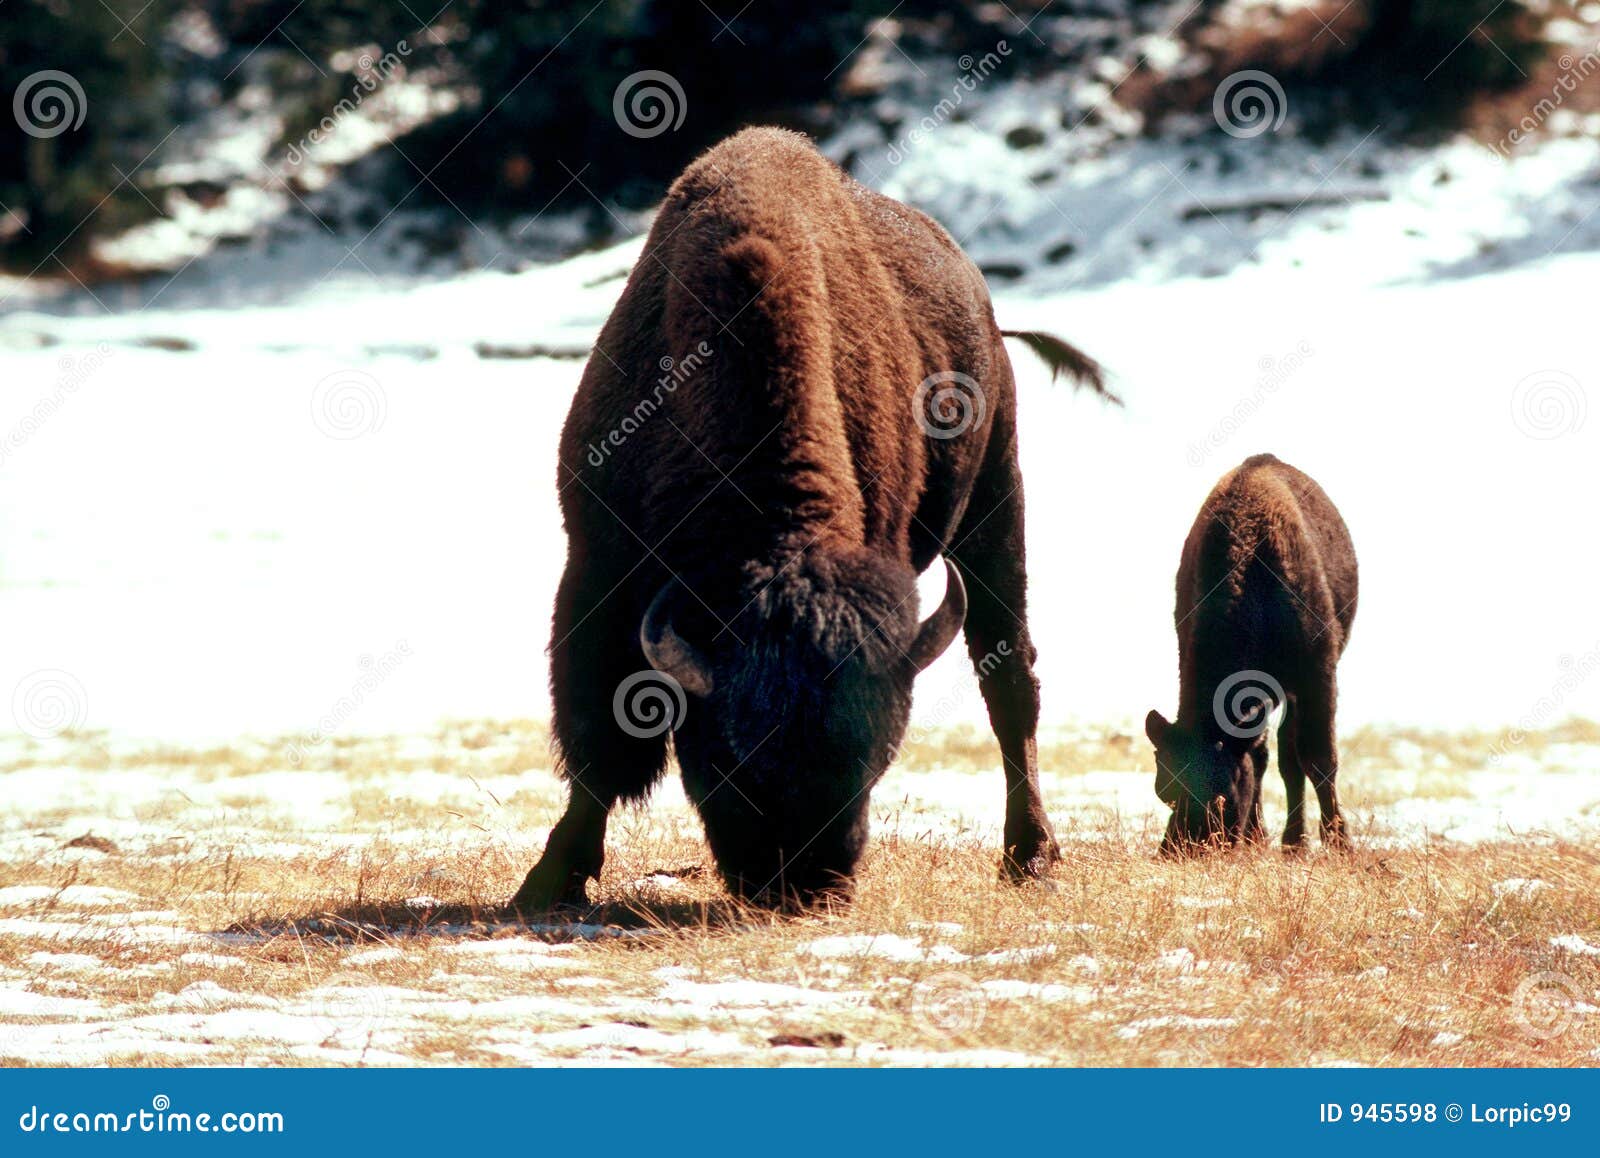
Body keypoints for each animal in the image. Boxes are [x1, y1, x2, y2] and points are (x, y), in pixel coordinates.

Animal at [511, 127, 1109, 912]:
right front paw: (548, 882)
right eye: (731, 755)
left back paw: (1032, 855)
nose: (804, 883)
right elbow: (598, 739)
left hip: (996, 504)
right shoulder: (595, 567)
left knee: (1009, 681)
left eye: (875, 755)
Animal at [1145, 454, 1358, 854]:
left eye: (1222, 797)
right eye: (1164, 791)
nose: (1177, 849)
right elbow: (1262, 756)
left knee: (1292, 755)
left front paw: (1340, 841)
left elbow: (1320, 756)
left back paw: (1296, 841)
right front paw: (1255, 835)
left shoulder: (1318, 674)